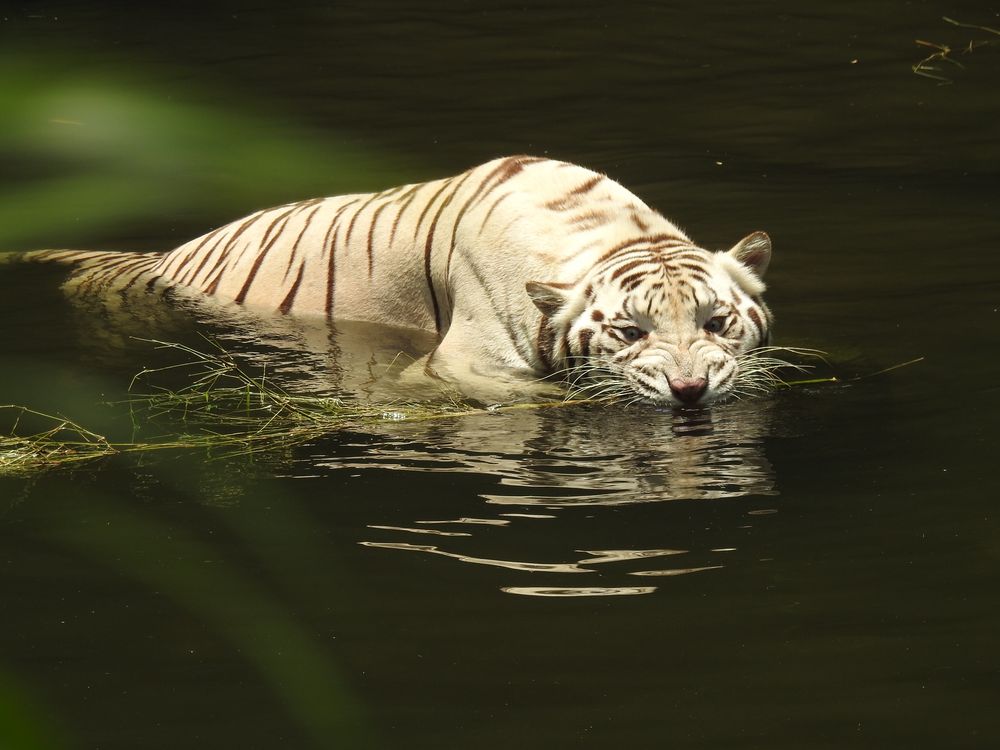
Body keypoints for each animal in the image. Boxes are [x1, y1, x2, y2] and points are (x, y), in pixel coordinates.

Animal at [24, 155, 776, 406]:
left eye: (716, 321)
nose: (689, 391)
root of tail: (155, 258)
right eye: (629, 332)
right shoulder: (461, 368)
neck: (607, 234)